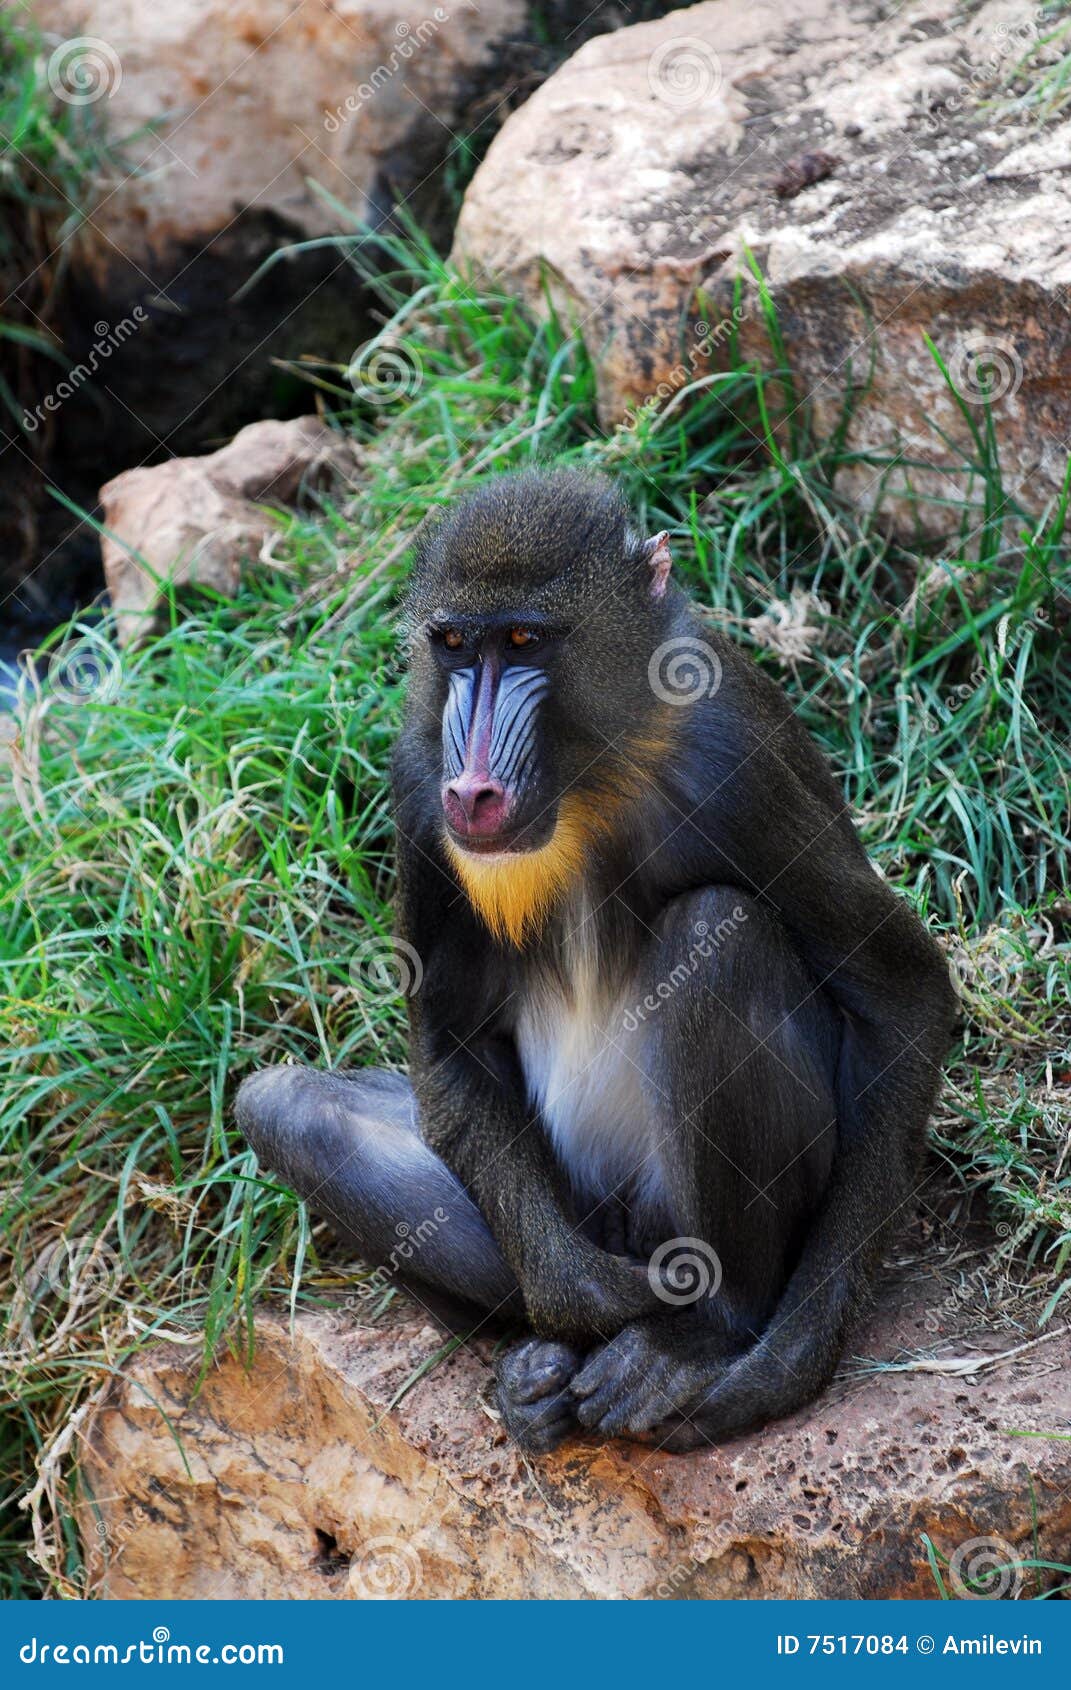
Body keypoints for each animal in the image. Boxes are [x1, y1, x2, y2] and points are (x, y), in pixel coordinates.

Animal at [236, 466, 957, 1454]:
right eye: (455, 645)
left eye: (523, 642)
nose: (474, 787)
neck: (585, 781)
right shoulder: (417, 785)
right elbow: (450, 1040)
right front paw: (584, 1307)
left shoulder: (736, 759)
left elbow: (898, 994)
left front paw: (779, 1368)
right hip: (568, 1203)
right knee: (286, 1108)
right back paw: (536, 1364)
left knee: (718, 935)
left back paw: (697, 1337)